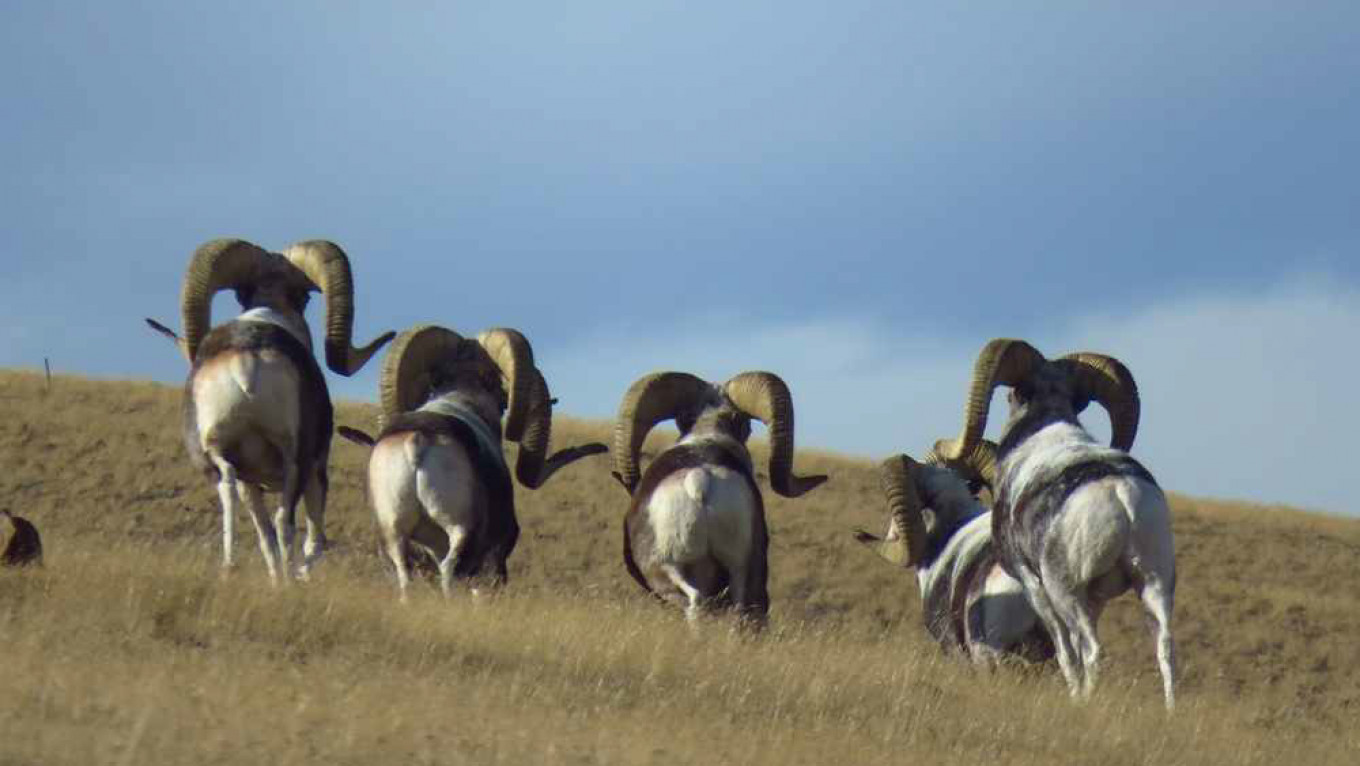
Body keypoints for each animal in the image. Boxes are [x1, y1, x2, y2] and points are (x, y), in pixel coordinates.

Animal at [146, 239, 394, 584]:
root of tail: (245, 359)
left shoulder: (252, 483)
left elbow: (265, 538)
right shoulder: (316, 468)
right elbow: (314, 539)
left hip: (218, 455)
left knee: (230, 490)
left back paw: (231, 566)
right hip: (295, 461)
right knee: (285, 523)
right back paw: (290, 579)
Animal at [935, 339, 1176, 708]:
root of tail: (1121, 494)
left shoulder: (1033, 583)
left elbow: (1066, 651)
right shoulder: (1097, 598)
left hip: (1067, 591)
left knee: (1091, 651)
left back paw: (1084, 701)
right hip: (1154, 584)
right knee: (1164, 649)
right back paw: (1170, 711)